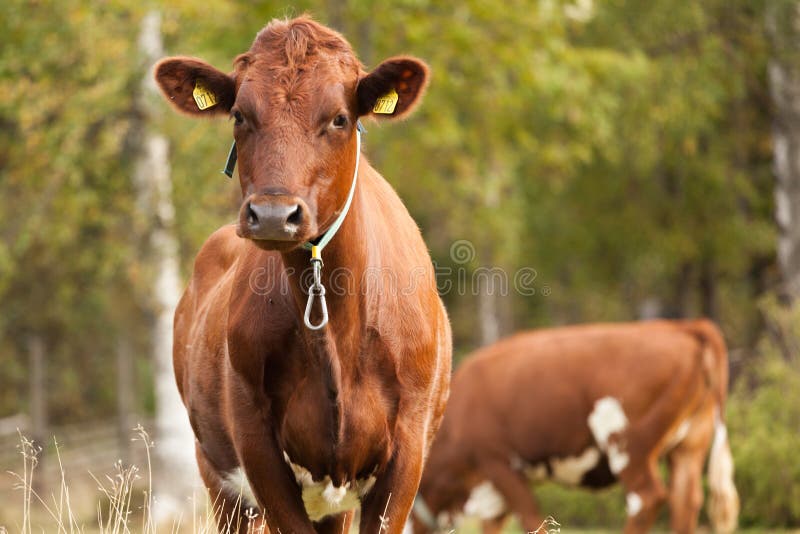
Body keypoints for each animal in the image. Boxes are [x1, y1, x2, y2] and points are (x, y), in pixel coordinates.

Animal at [153, 16, 451, 534]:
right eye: (239, 115)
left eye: (339, 118)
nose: (274, 215)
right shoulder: (257, 450)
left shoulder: (408, 452)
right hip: (216, 475)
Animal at [410, 320, 739, 534]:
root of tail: (683, 326)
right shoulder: (493, 489)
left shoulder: (498, 463)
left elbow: (532, 519)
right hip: (688, 448)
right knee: (686, 502)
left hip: (628, 445)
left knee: (647, 498)